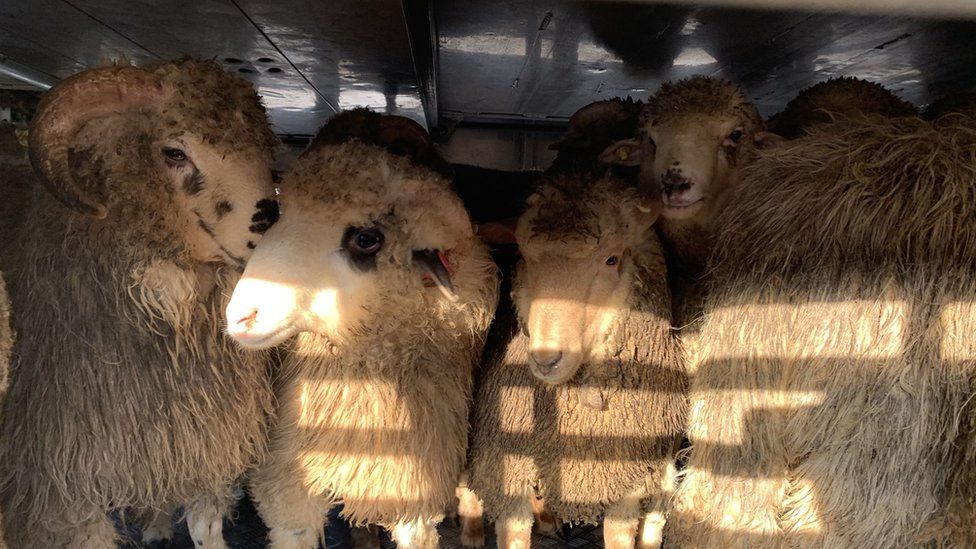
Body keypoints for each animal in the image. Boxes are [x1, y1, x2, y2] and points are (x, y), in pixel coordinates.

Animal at [0, 58, 279, 548]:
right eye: (174, 153)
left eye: (262, 148)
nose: (273, 222)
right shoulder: (57, 485)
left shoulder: (199, 444)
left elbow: (206, 529)